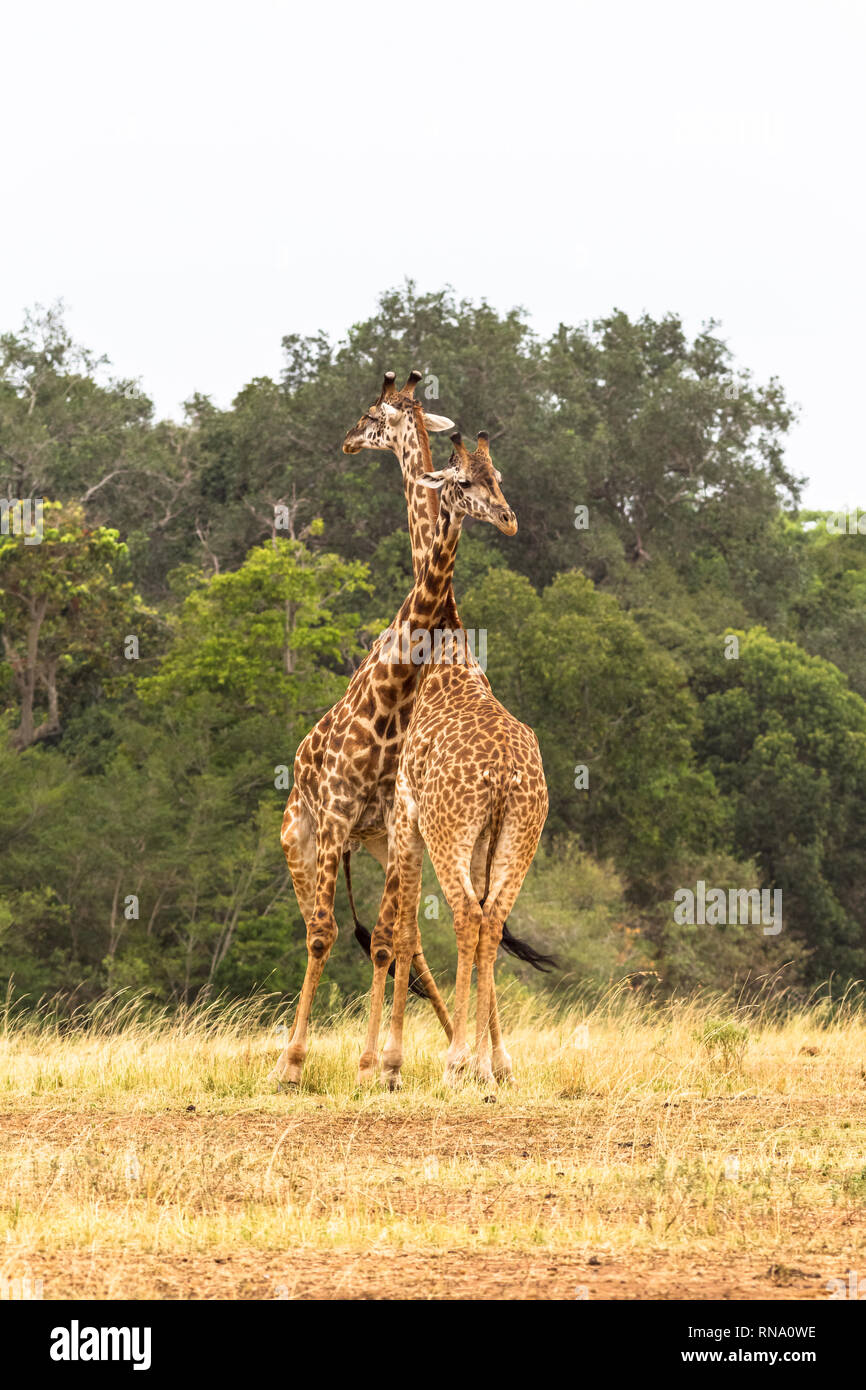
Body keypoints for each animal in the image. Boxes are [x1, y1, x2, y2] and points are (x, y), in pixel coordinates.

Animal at [366, 433, 549, 1091]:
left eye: (496, 476)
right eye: (469, 480)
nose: (510, 517)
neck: (448, 650)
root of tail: (502, 777)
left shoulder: (407, 813)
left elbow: (399, 929)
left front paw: (389, 1062)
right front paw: (493, 1061)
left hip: (450, 829)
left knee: (468, 917)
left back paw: (454, 1062)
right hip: (520, 828)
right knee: (492, 917)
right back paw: (494, 1062)